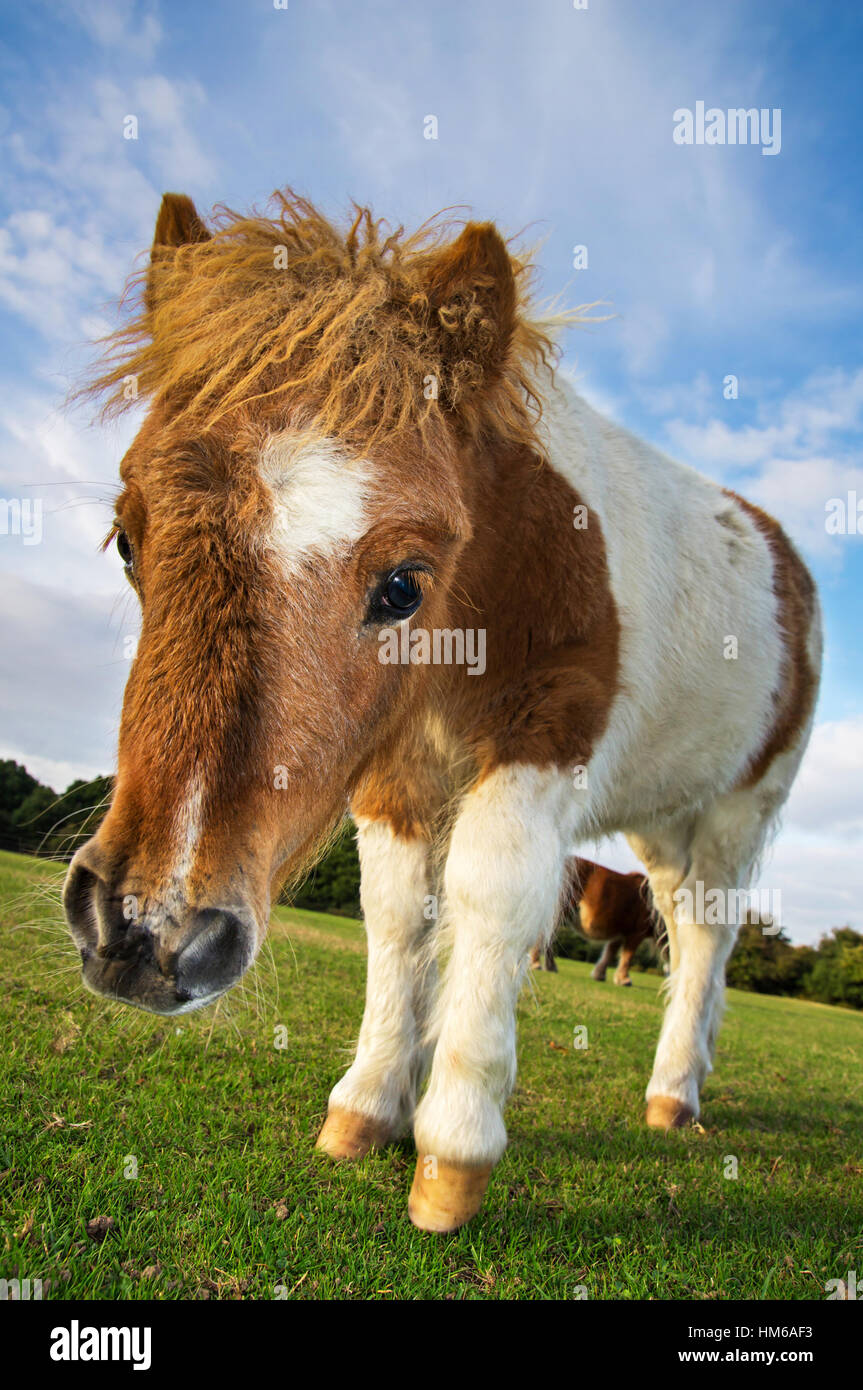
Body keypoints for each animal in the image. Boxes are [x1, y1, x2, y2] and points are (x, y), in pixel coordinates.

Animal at [530, 856, 660, 984]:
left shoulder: (620, 933)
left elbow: (610, 952)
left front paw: (600, 975)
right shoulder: (636, 934)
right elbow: (628, 955)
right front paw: (624, 979)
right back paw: (540, 964)